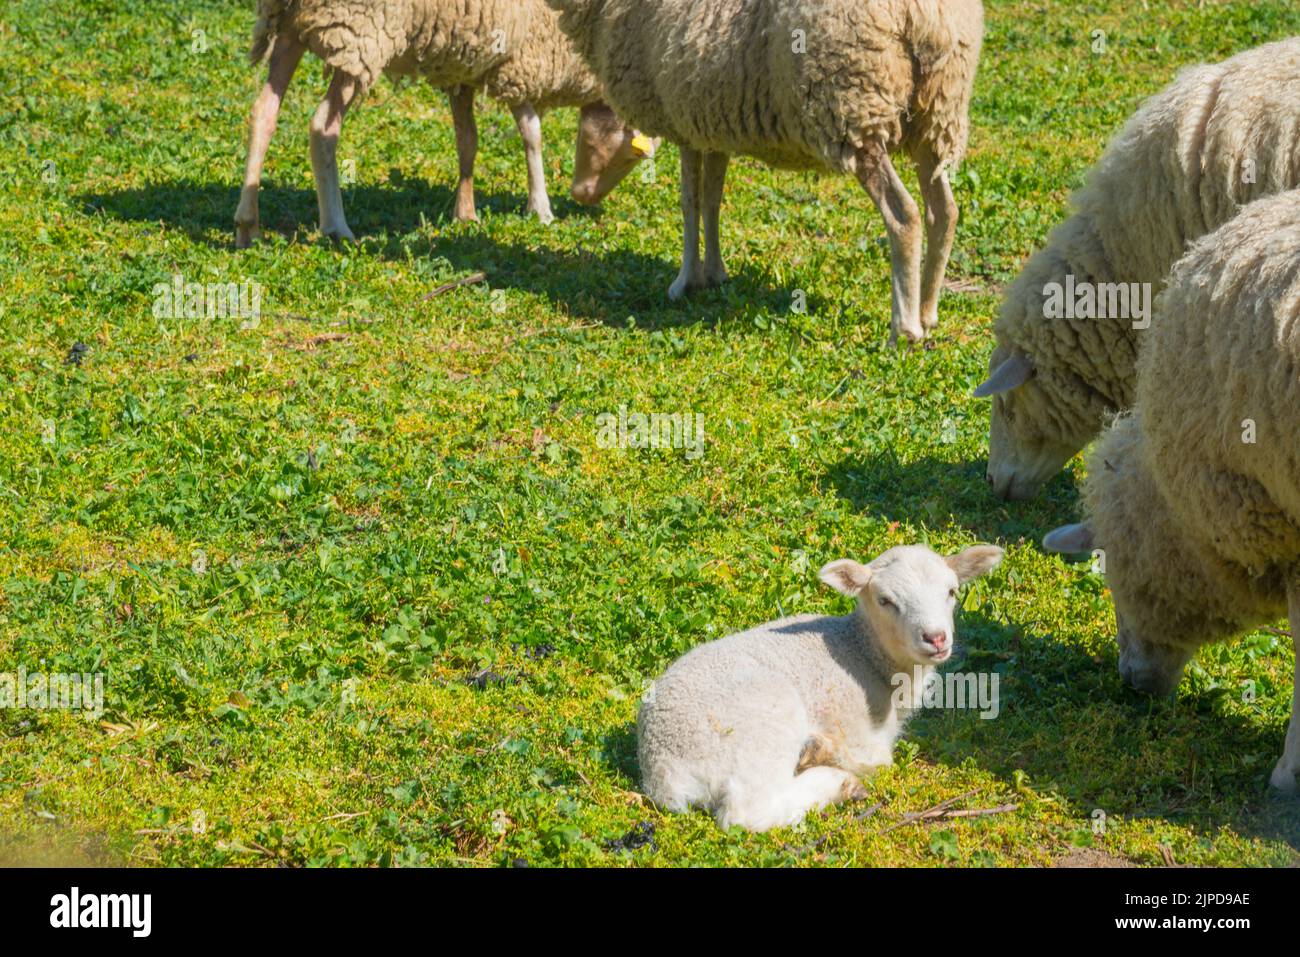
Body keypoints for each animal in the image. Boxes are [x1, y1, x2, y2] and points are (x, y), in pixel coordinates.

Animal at [233, 0, 653, 247]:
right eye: (633, 156)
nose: (584, 197)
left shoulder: (464, 66)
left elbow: (467, 140)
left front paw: (464, 213)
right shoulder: (518, 62)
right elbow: (531, 134)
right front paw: (541, 208)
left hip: (292, 28)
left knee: (263, 112)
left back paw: (247, 225)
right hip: (359, 35)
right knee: (323, 127)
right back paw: (336, 226)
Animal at [545, 0, 984, 344]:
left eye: (593, 140)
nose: (579, 193)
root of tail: (929, 17)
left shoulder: (682, 118)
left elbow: (689, 203)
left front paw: (684, 281)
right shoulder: (711, 122)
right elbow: (712, 200)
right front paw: (714, 273)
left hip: (856, 107)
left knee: (904, 215)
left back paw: (904, 329)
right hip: (936, 115)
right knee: (944, 211)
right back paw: (927, 311)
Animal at [638, 543, 1004, 831]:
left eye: (951, 592)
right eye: (885, 600)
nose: (936, 638)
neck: (864, 652)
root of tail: (661, 768)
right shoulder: (856, 728)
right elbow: (880, 760)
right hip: (763, 724)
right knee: (745, 814)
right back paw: (835, 779)